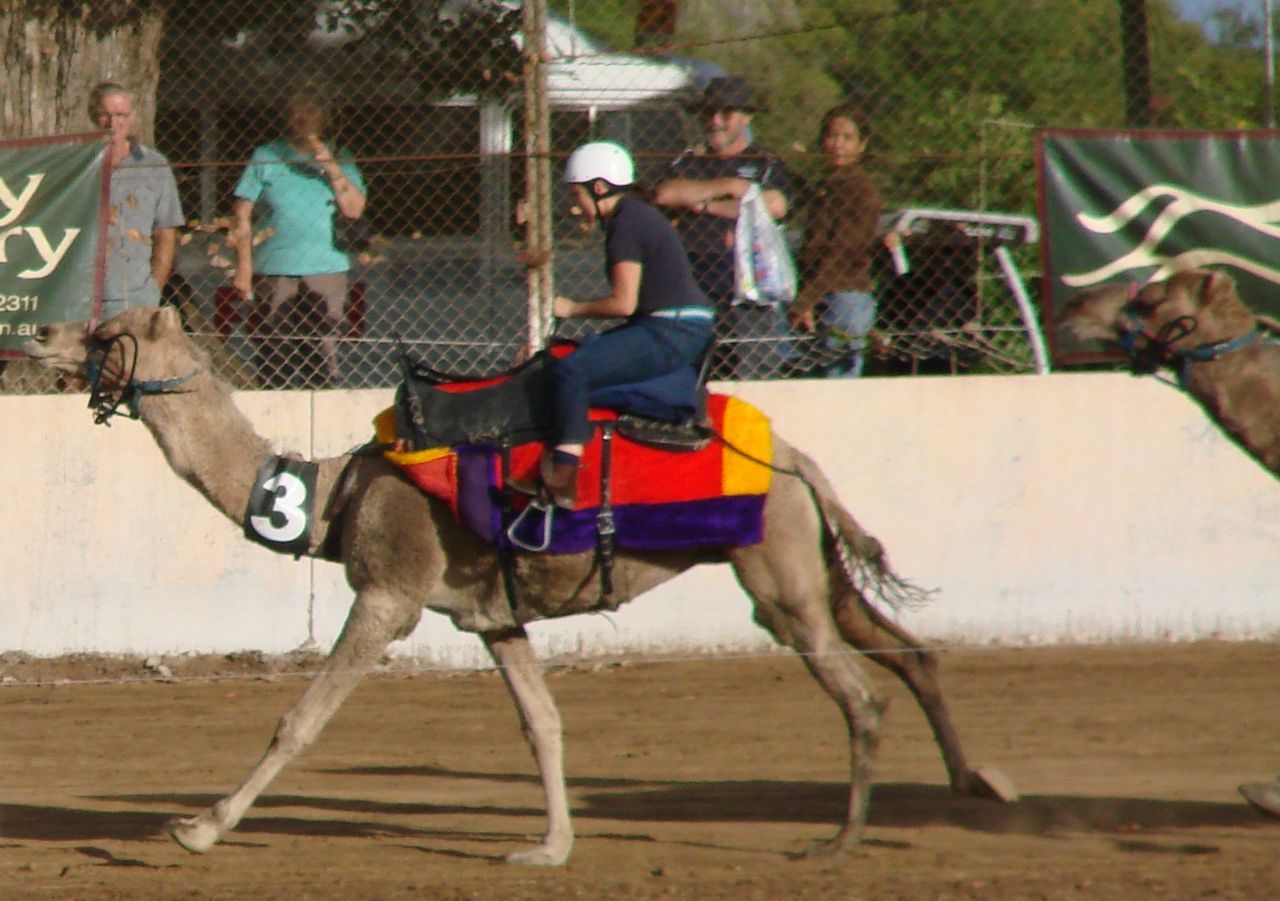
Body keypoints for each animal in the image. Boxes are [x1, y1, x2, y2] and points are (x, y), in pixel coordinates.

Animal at [26, 305, 1014, 866]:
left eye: (107, 332)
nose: (37, 331)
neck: (332, 495)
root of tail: (796, 458)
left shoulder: (388, 593)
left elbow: (300, 718)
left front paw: (196, 828)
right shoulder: (490, 617)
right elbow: (543, 722)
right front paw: (549, 846)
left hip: (776, 576)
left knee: (858, 690)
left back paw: (839, 841)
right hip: (810, 557)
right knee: (908, 649)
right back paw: (979, 783)